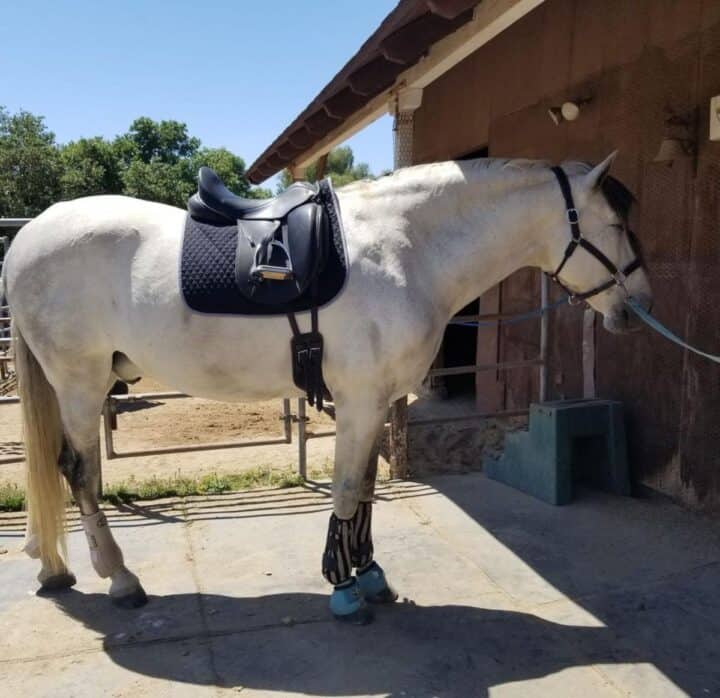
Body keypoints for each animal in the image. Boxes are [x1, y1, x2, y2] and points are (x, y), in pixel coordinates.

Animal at [3, 152, 652, 624]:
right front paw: (343, 590)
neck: (406, 250)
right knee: (79, 473)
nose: (639, 307)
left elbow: (363, 491)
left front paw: (370, 575)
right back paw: (120, 579)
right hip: (81, 383)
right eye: (618, 224)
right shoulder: (360, 399)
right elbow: (343, 491)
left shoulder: (378, 401)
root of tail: (31, 235)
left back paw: (53, 568)